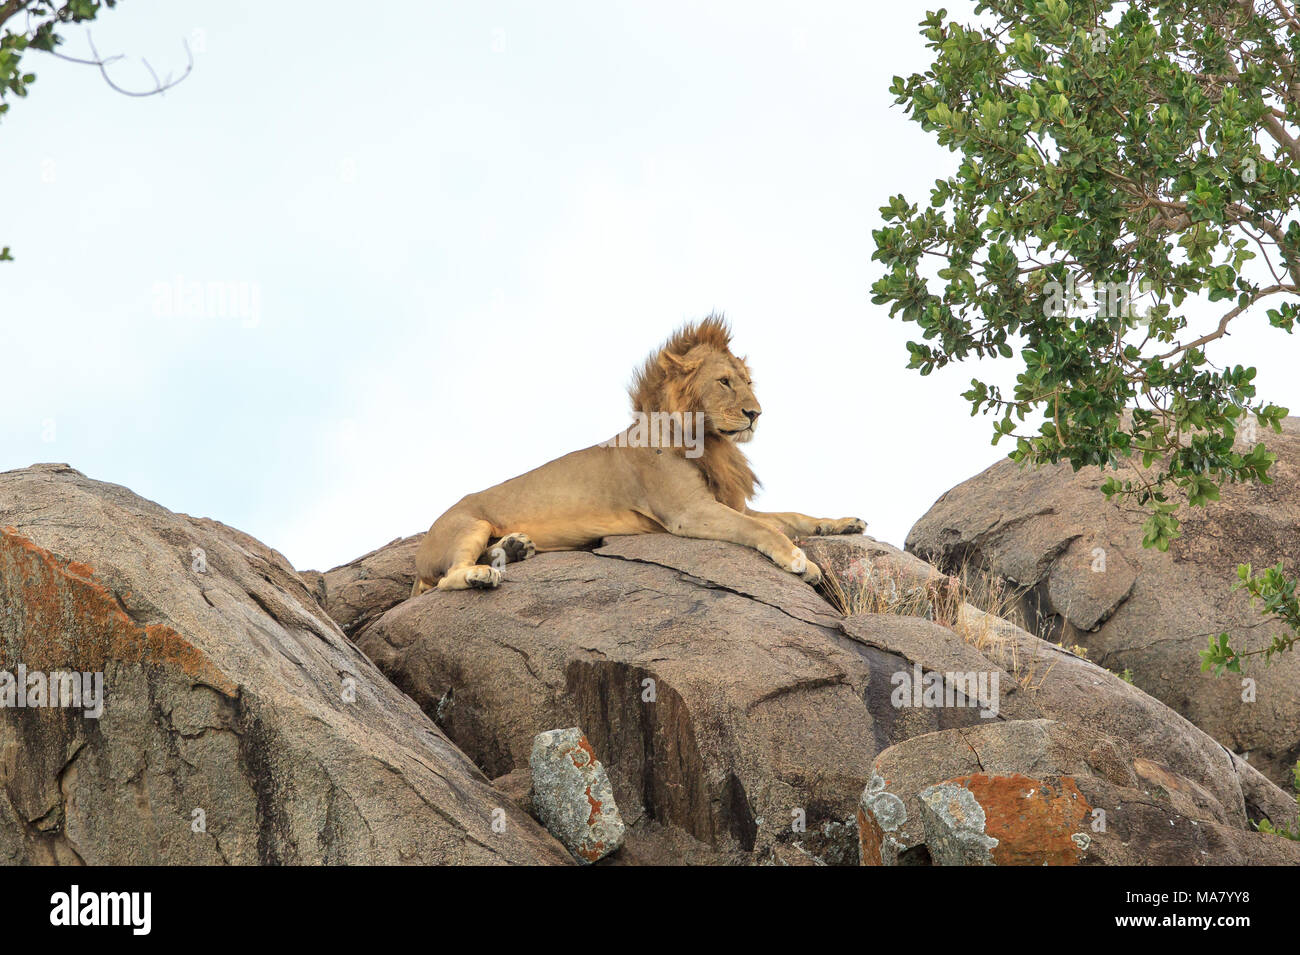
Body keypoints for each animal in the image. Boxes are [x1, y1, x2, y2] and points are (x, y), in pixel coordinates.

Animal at [411, 314, 866, 595]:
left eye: (748, 382)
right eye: (724, 382)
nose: (756, 414)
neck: (706, 440)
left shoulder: (726, 503)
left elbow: (792, 516)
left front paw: (843, 524)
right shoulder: (689, 513)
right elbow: (763, 529)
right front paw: (799, 560)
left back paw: (516, 548)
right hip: (467, 524)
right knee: (449, 577)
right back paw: (481, 575)